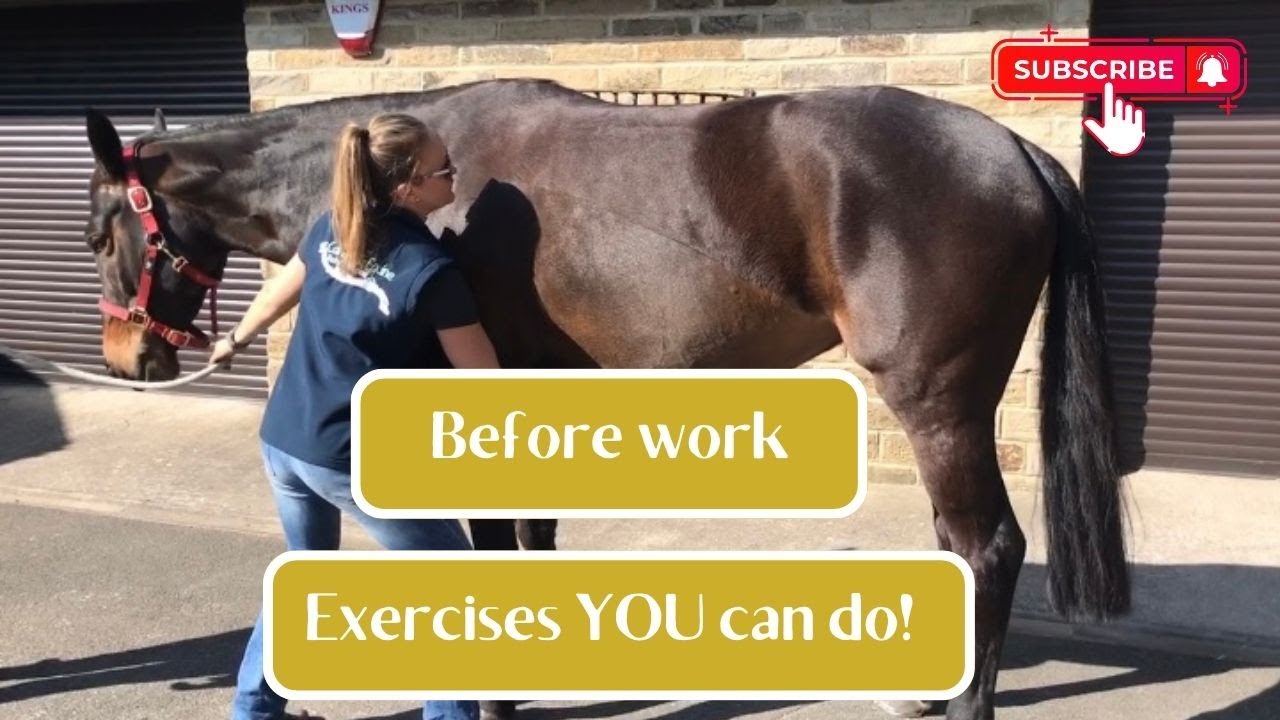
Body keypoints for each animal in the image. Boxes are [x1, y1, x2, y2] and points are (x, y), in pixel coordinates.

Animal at [80, 78, 1130, 720]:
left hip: (938, 402)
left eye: (100, 232)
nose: (130, 355)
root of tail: (1013, 150)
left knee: (987, 547)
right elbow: (533, 541)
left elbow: (492, 545)